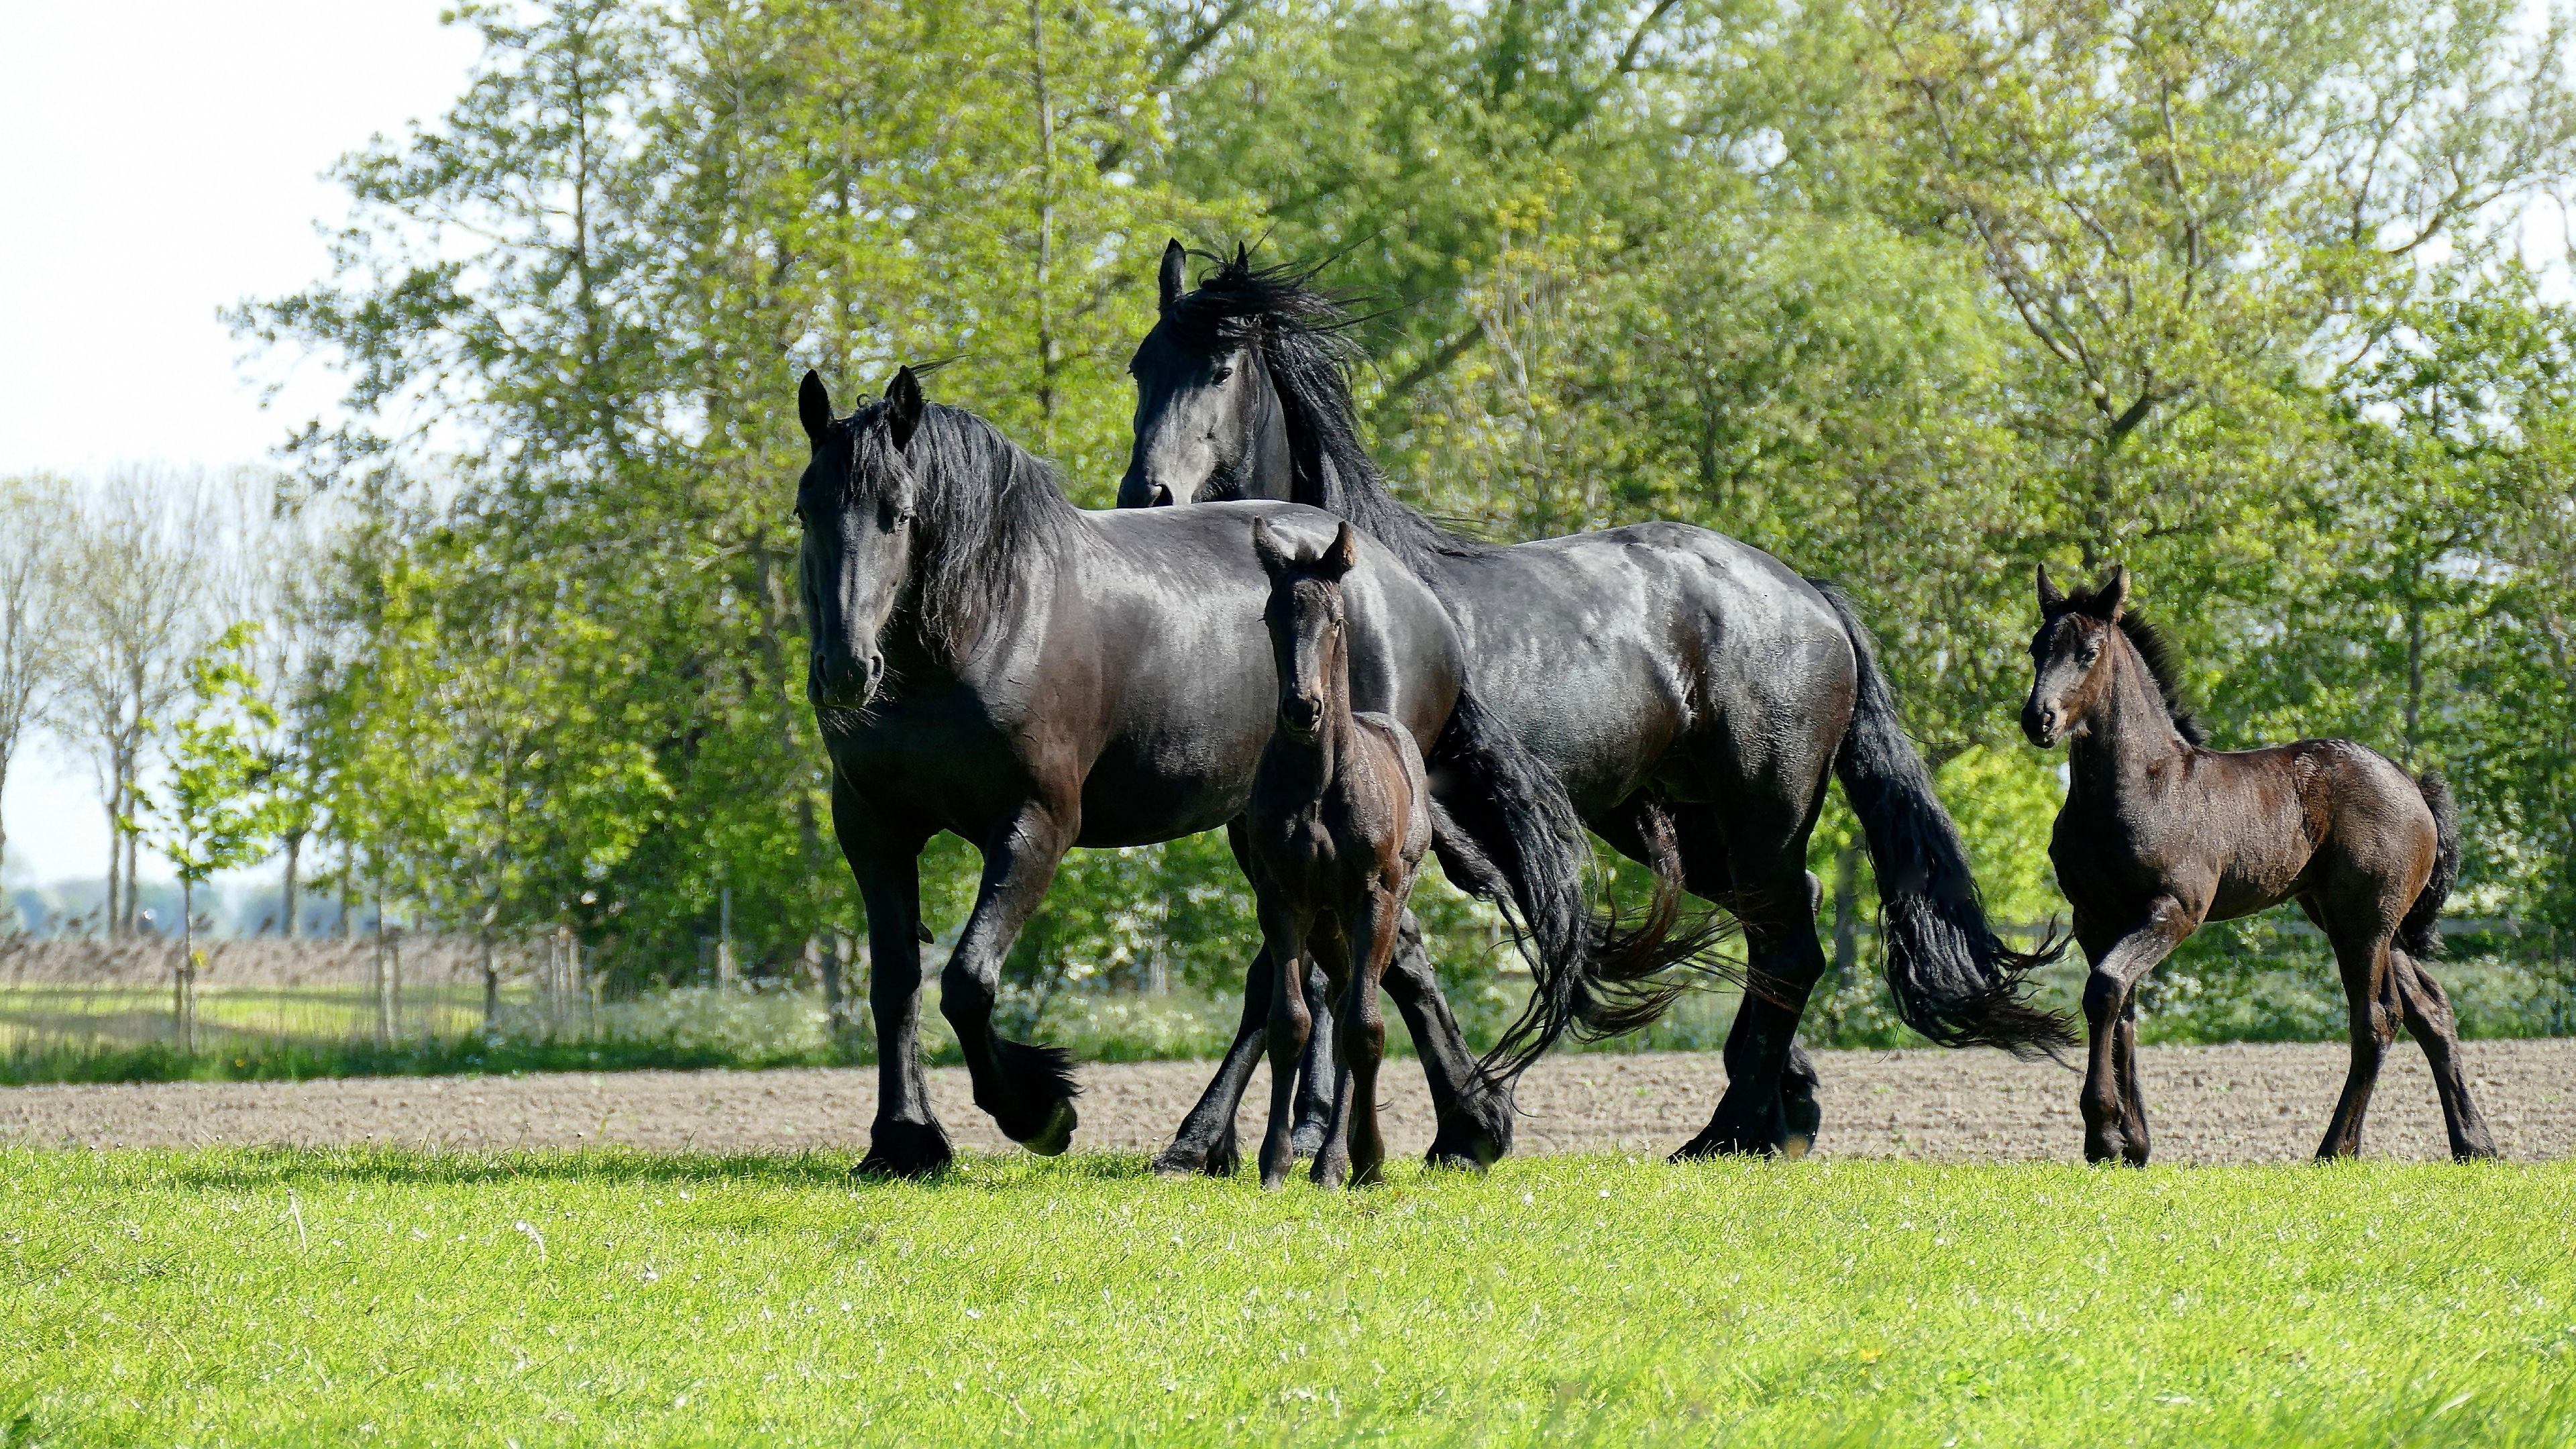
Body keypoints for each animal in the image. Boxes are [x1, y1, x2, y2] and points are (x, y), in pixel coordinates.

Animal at [1243, 519, 1435, 1188]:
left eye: (1335, 618)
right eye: (1273, 616)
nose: (1303, 707)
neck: (1319, 784)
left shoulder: (1374, 893)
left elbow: (1365, 1026)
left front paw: (1366, 1159)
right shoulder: (1281, 897)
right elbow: (1290, 1022)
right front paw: (1274, 1164)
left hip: (1379, 903)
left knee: (1357, 1003)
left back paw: (1340, 1159)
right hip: (1327, 922)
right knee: (1339, 992)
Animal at [2021, 564, 2498, 1164]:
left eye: (2088, 651)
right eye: (2036, 648)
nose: (2038, 718)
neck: (2138, 787)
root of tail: (2411, 784)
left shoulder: (2175, 910)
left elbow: (2105, 989)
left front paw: (2104, 1133)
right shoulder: (2094, 918)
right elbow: (2122, 1009)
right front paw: (2132, 1143)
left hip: (2364, 922)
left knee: (2375, 1020)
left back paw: (2335, 1149)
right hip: (2357, 920)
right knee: (2430, 1011)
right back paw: (2474, 1144)